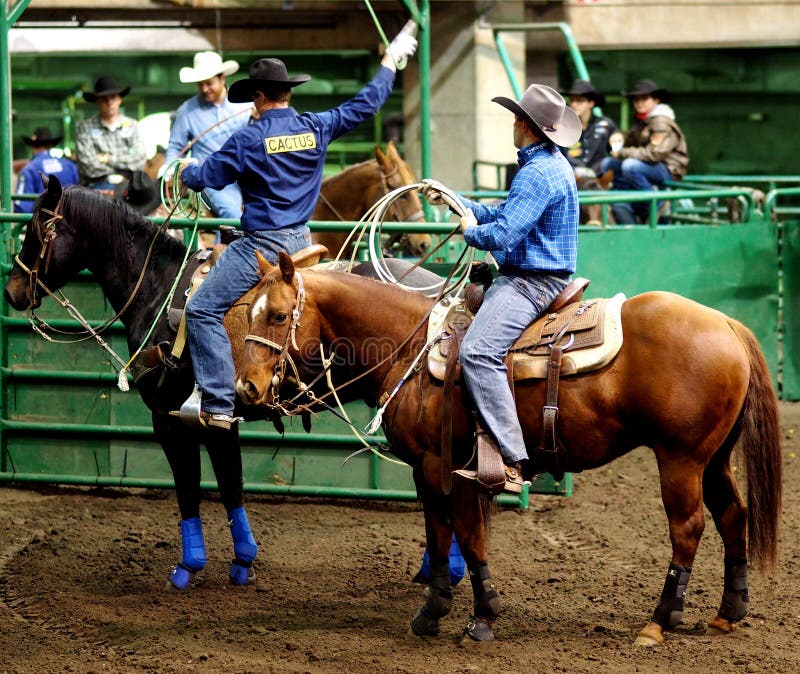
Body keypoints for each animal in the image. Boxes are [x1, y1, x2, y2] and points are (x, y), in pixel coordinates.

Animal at [235, 252, 782, 646]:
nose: (247, 389)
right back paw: (729, 612)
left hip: (680, 458)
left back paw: (660, 622)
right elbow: (439, 536)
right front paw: (433, 612)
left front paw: (479, 618)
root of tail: (728, 325)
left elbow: (466, 536)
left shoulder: (446, 467)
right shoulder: (426, 471)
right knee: (732, 514)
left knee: (687, 528)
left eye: (278, 315)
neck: (413, 349)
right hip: (714, 458)